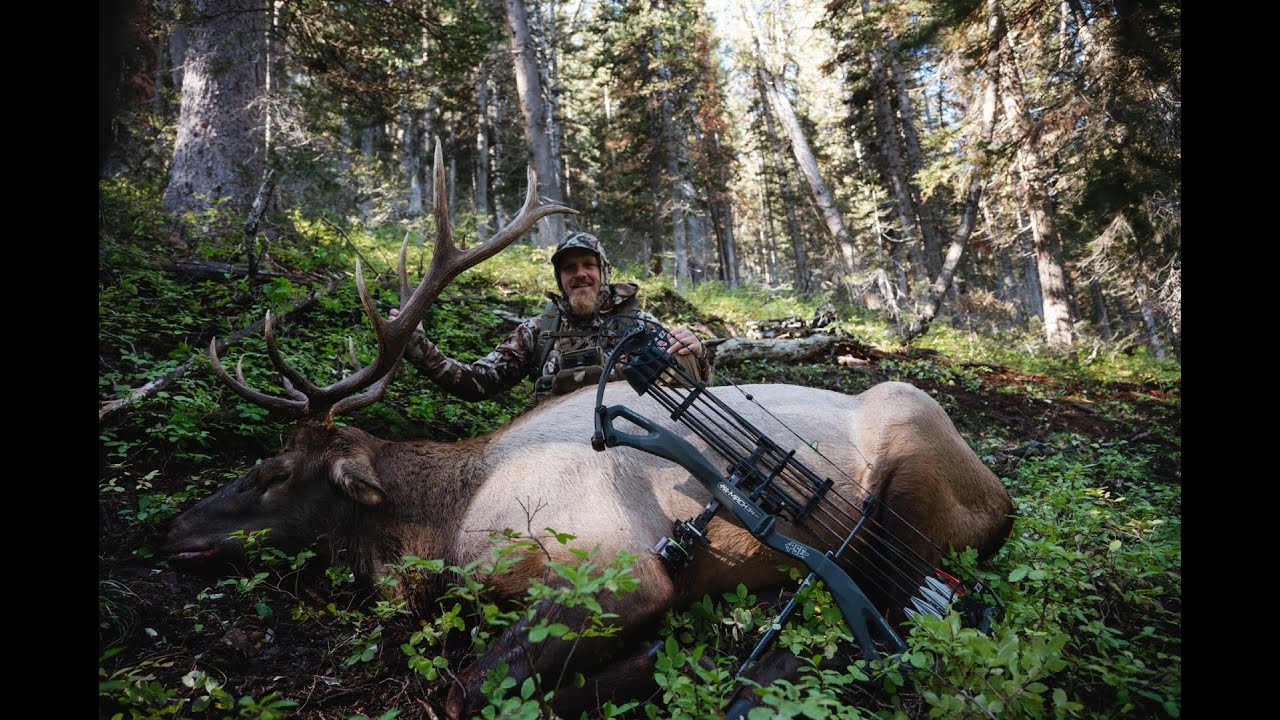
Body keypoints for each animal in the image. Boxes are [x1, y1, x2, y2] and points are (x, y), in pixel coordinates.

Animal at [161, 144, 1015, 719]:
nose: (174, 529)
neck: (445, 519)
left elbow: (469, 689)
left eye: (275, 472)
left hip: (910, 462)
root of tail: (1005, 500)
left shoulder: (616, 572)